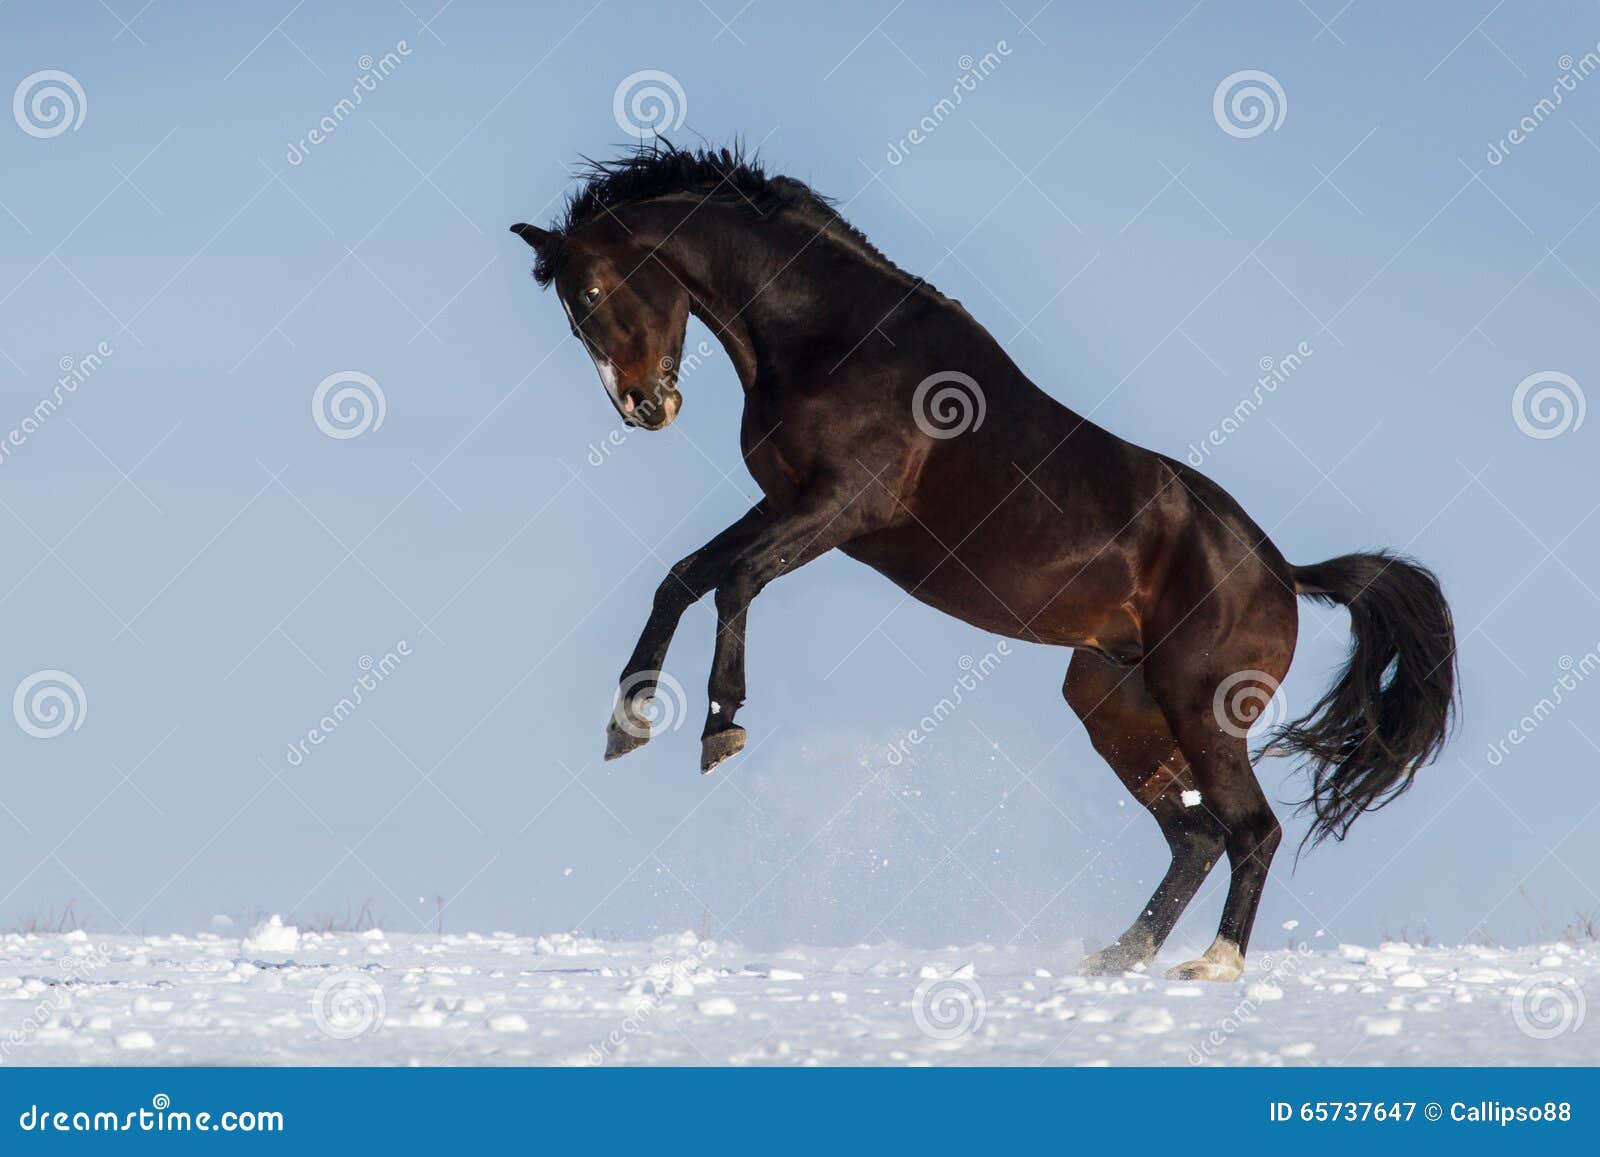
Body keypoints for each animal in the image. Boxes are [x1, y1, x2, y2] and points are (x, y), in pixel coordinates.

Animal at [510, 144, 1457, 981]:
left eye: (593, 291)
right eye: (571, 311)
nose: (644, 406)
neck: (835, 338)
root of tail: (1281, 571)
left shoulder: (838, 509)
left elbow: (733, 581)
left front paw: (721, 728)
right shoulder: (783, 504)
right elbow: (682, 577)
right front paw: (629, 722)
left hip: (1203, 706)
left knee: (1250, 831)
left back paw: (1214, 966)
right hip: (1115, 702)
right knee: (1195, 837)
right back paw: (1115, 958)